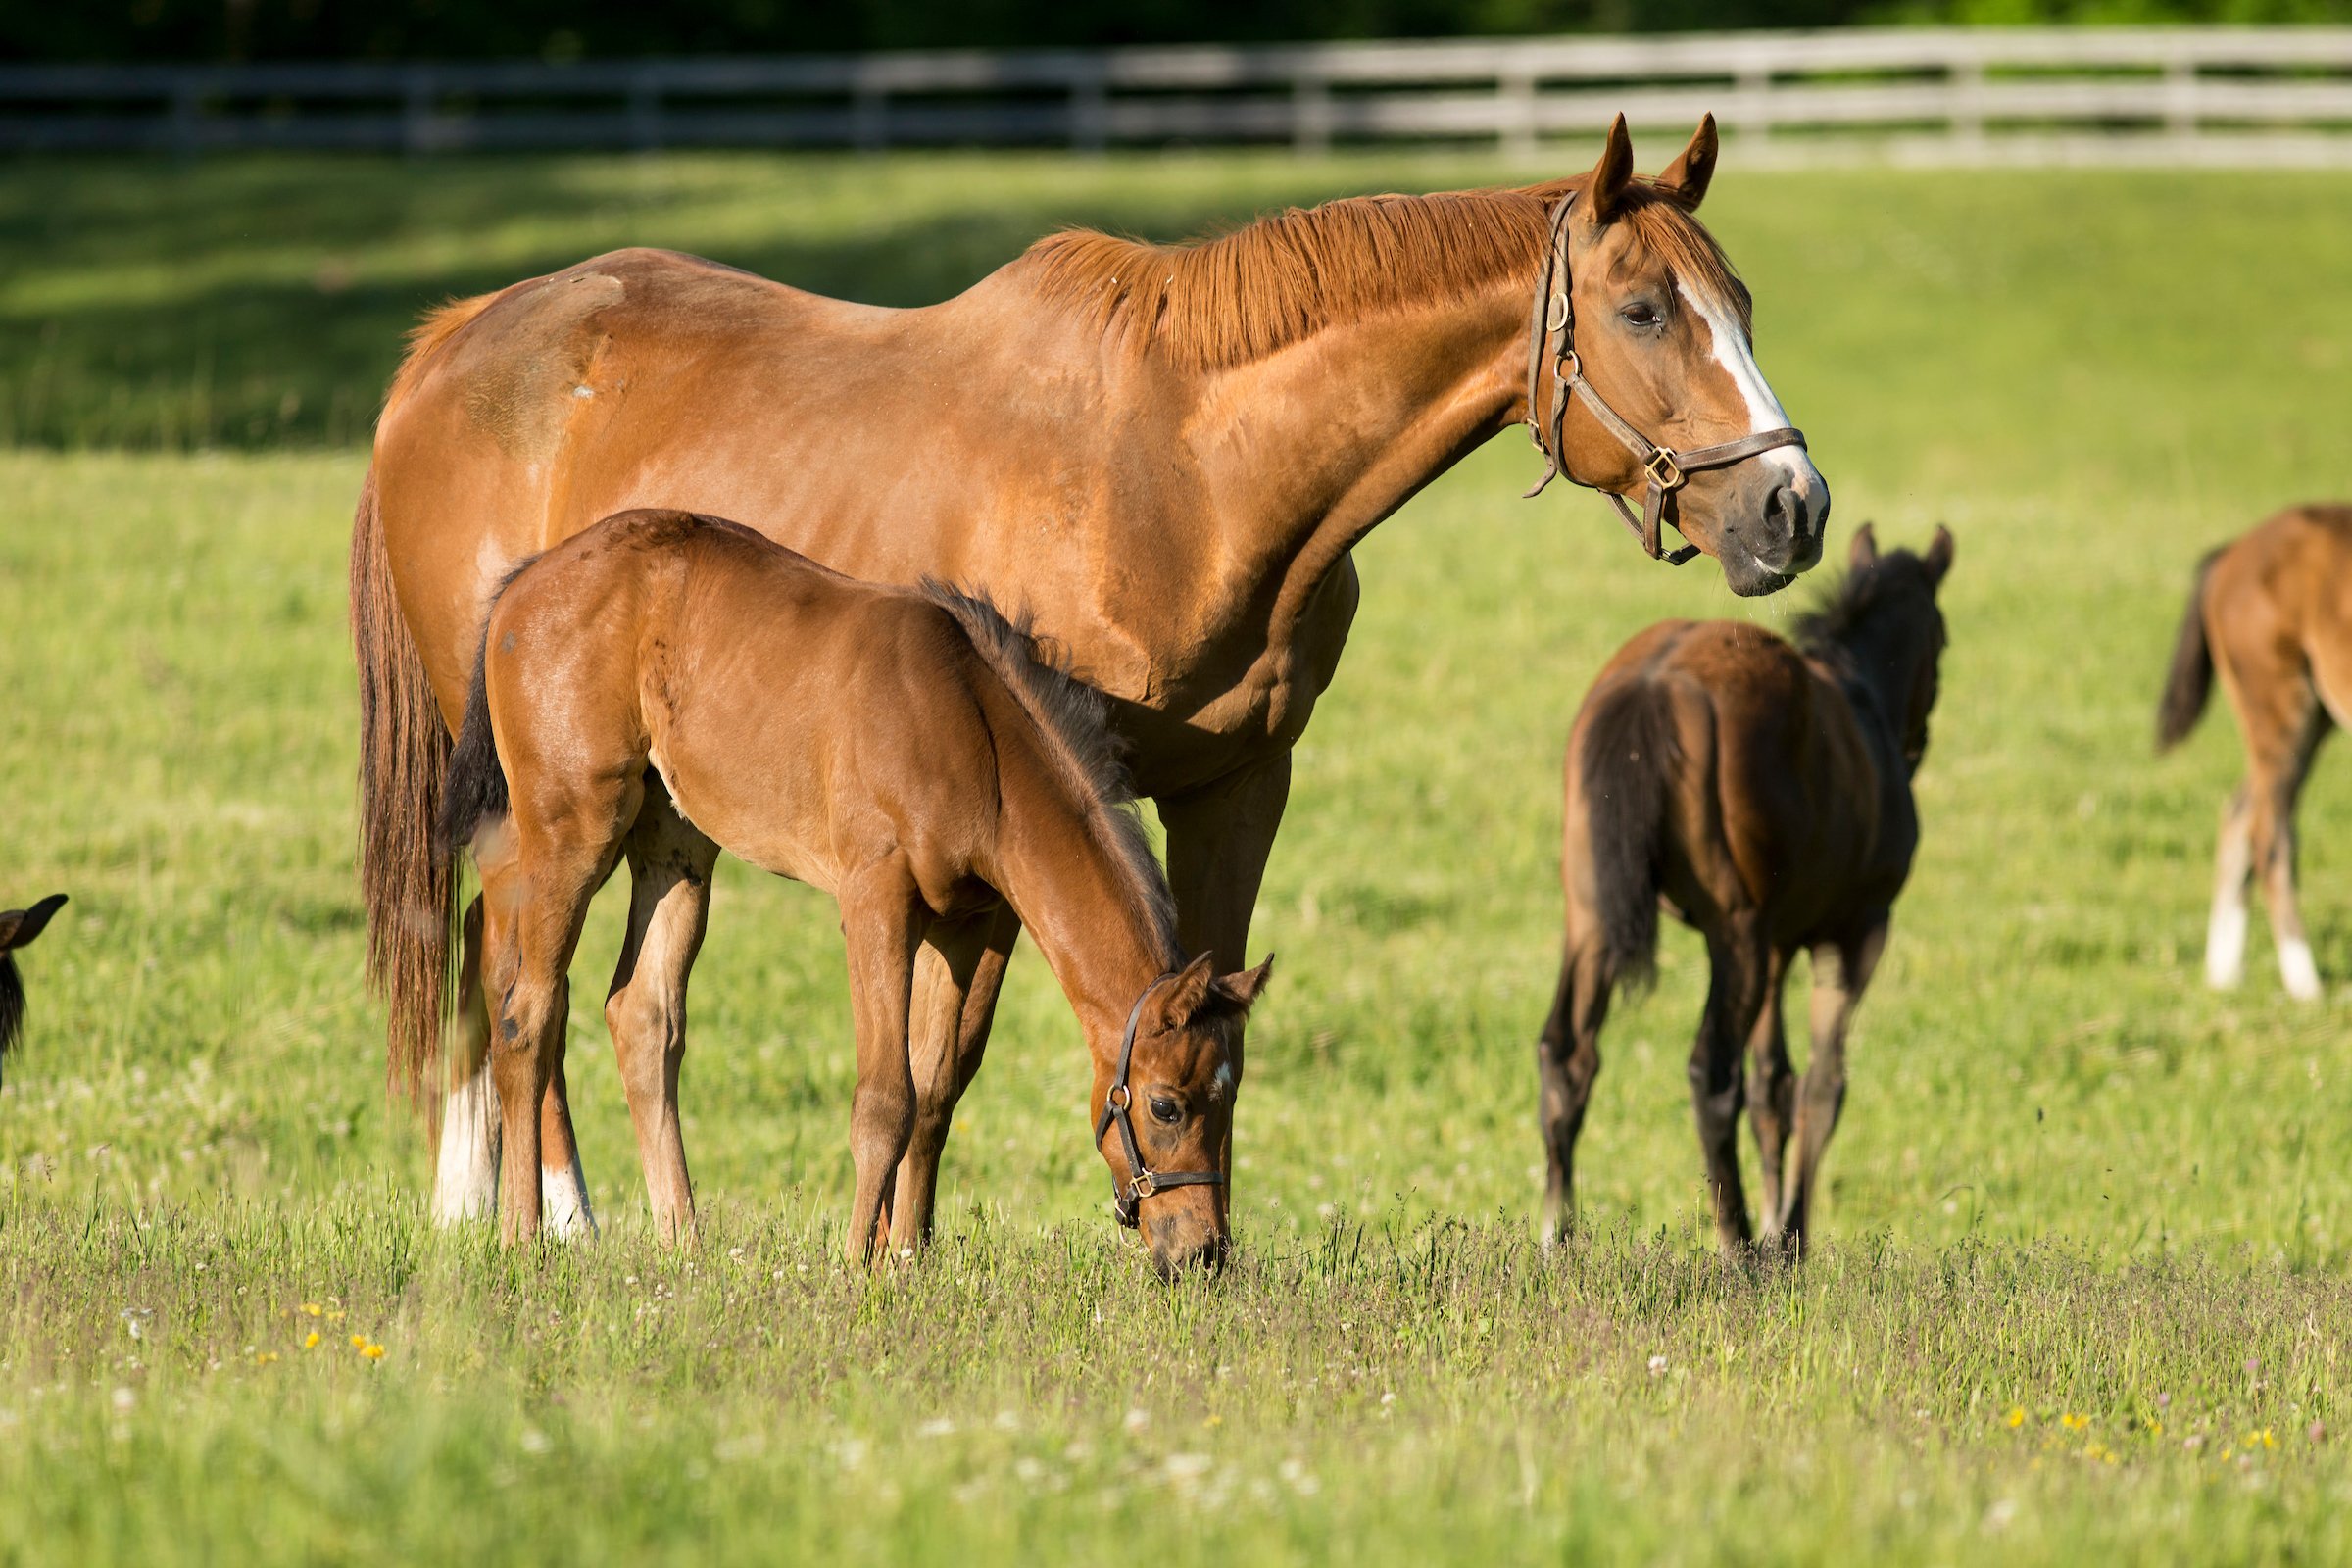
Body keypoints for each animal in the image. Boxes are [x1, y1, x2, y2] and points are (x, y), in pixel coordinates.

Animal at [435, 509, 1272, 1272]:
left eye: (1230, 1098)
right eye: (1164, 1104)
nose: (1204, 1252)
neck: (969, 728)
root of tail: (520, 586)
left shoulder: (962, 924)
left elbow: (932, 1092)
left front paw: (904, 1261)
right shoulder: (875, 900)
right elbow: (884, 1099)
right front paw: (854, 1268)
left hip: (674, 841)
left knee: (640, 1013)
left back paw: (685, 1246)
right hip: (572, 831)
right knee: (528, 1011)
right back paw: (522, 1238)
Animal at [1537, 525, 1952, 1257]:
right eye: (1944, 641)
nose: (1916, 743)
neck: (1862, 700)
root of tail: (1652, 682)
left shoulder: (1782, 941)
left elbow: (1774, 1089)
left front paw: (1777, 1226)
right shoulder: (1855, 933)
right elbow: (1821, 1086)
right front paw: (1788, 1238)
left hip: (1594, 915)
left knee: (1566, 1057)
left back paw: (1558, 1239)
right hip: (1737, 934)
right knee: (1712, 1074)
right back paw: (1737, 1251)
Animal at [2156, 503, 2352, 1002]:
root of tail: (2234, 549)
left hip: (2314, 714)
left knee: (2239, 813)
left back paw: (2223, 976)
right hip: (2279, 702)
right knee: (2271, 835)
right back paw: (2305, 986)